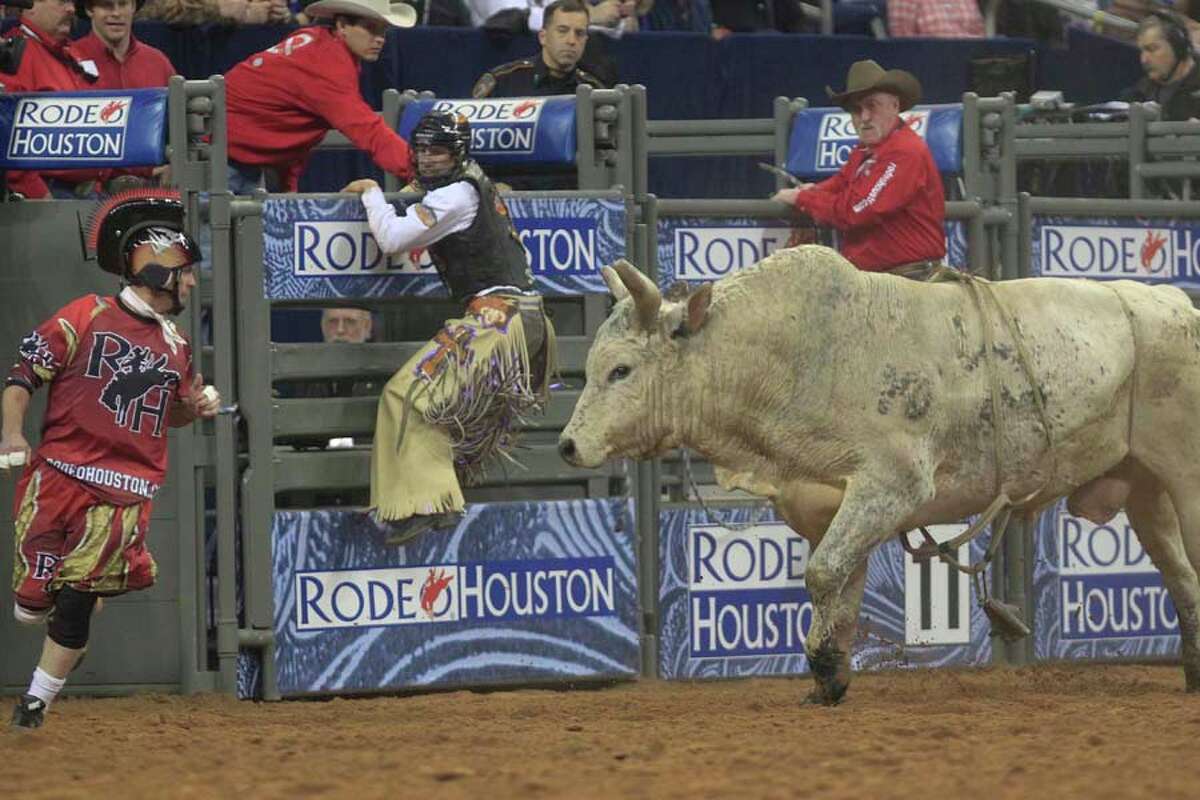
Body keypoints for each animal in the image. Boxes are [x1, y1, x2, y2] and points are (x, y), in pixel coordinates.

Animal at [558, 247, 1200, 705]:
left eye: (621, 370)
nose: (567, 445)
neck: (792, 357)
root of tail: (1177, 305)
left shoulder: (890, 488)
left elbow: (821, 575)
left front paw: (823, 665)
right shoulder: (839, 505)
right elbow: (841, 587)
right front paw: (831, 681)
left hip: (1187, 477)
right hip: (1146, 490)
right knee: (1182, 578)